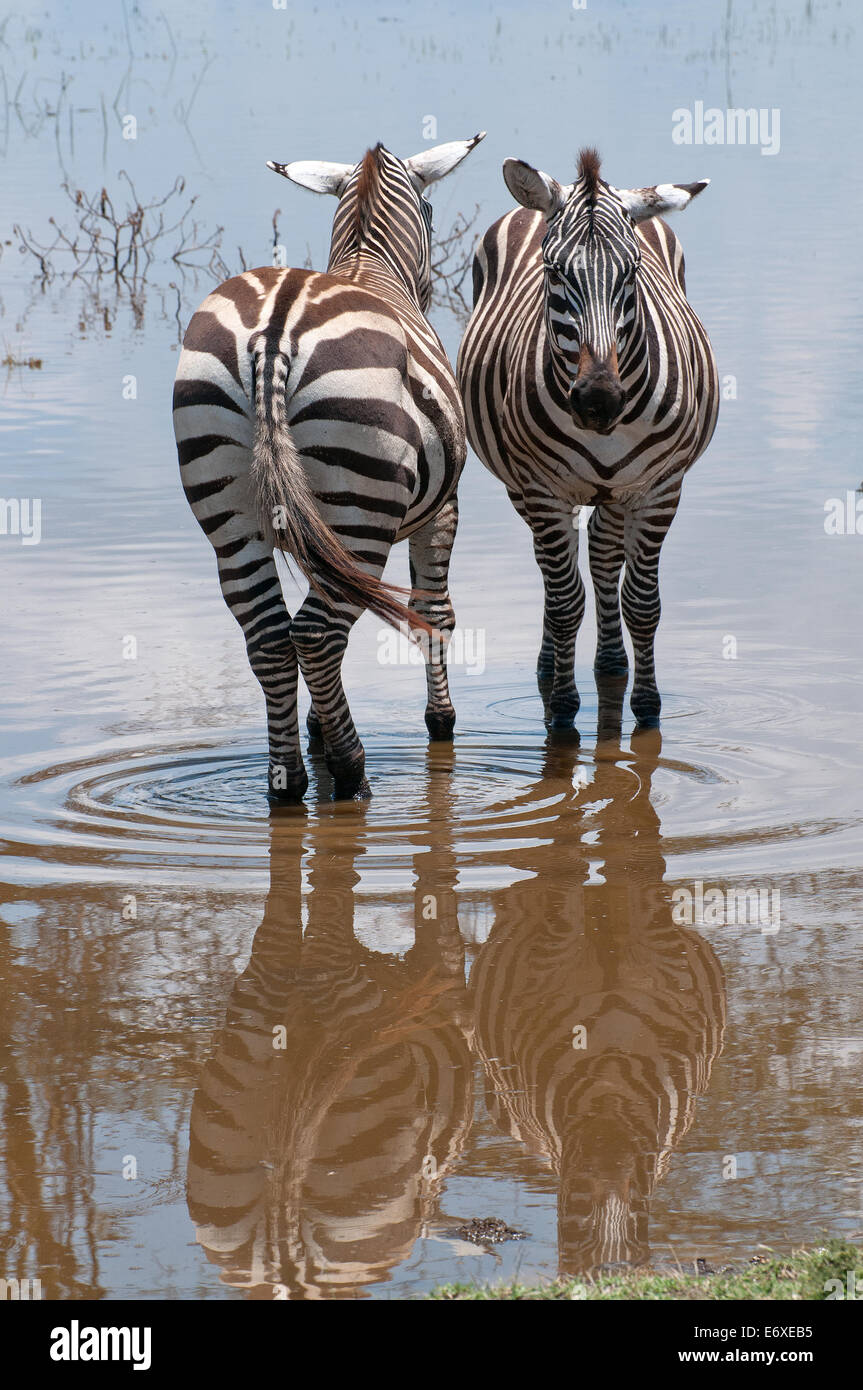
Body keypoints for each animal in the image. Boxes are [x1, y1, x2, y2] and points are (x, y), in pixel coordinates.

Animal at [173, 134, 484, 801]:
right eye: (430, 214)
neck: (371, 266)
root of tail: (273, 329)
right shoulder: (442, 508)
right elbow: (435, 613)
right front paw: (441, 721)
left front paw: (316, 729)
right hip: (361, 511)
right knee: (316, 635)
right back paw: (351, 771)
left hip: (230, 516)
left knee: (273, 636)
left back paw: (289, 782)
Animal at [458, 147, 718, 732]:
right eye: (554, 272)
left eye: (634, 271)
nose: (598, 399)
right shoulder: (543, 490)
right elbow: (564, 603)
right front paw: (561, 710)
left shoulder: (659, 489)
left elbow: (642, 604)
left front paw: (647, 709)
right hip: (523, 485)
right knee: (559, 569)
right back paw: (553, 664)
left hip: (617, 490)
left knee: (602, 552)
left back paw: (612, 663)